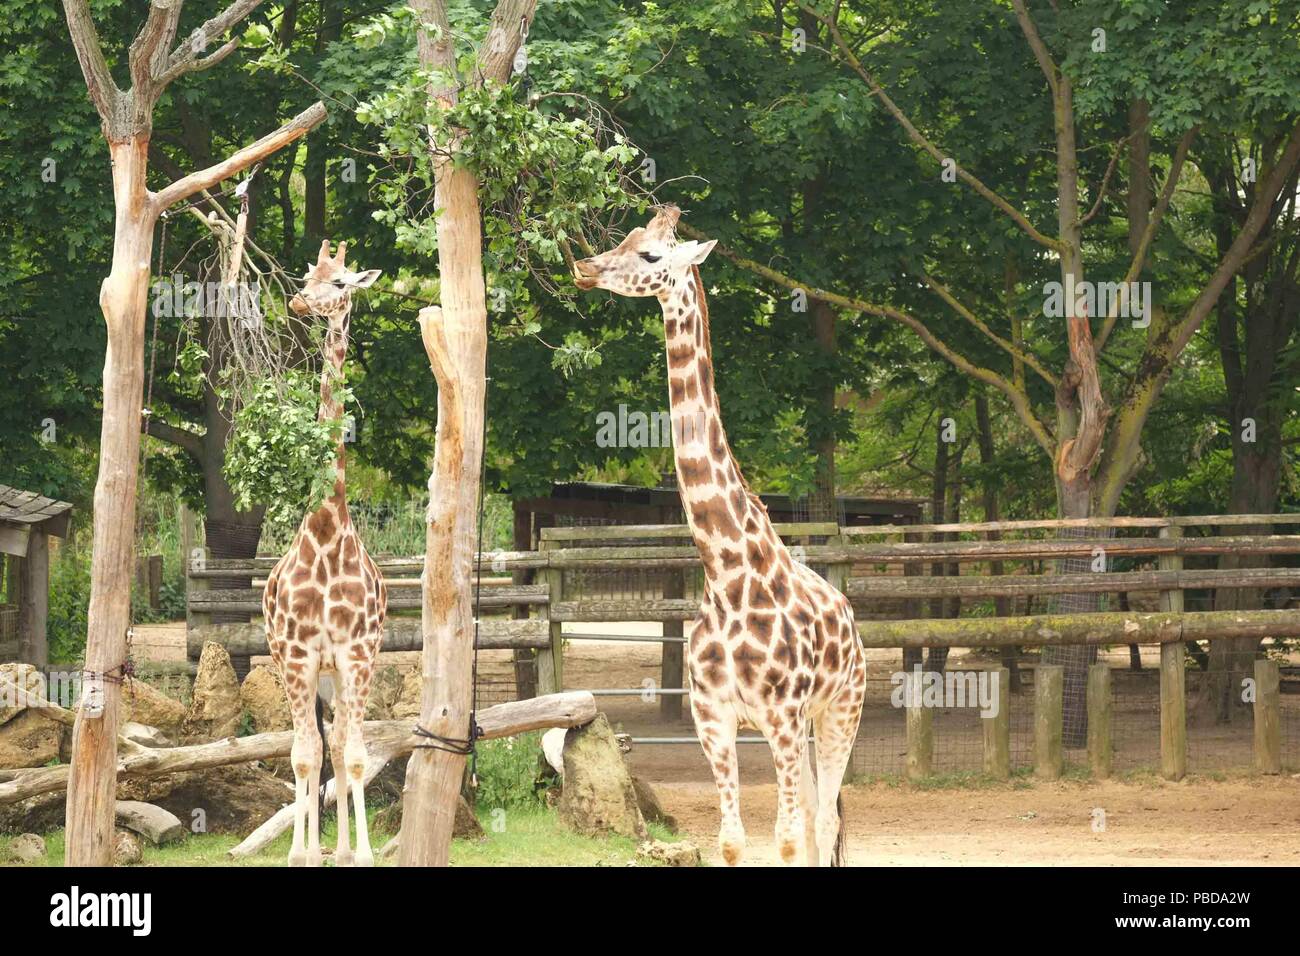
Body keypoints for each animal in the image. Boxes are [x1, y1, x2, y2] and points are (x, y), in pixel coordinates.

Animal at [575, 206, 867, 867]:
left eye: (652, 254)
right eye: (627, 237)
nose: (584, 266)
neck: (727, 572)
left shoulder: (782, 715)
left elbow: (784, 839)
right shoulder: (714, 719)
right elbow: (733, 841)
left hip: (841, 707)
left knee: (825, 820)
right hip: (805, 725)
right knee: (819, 812)